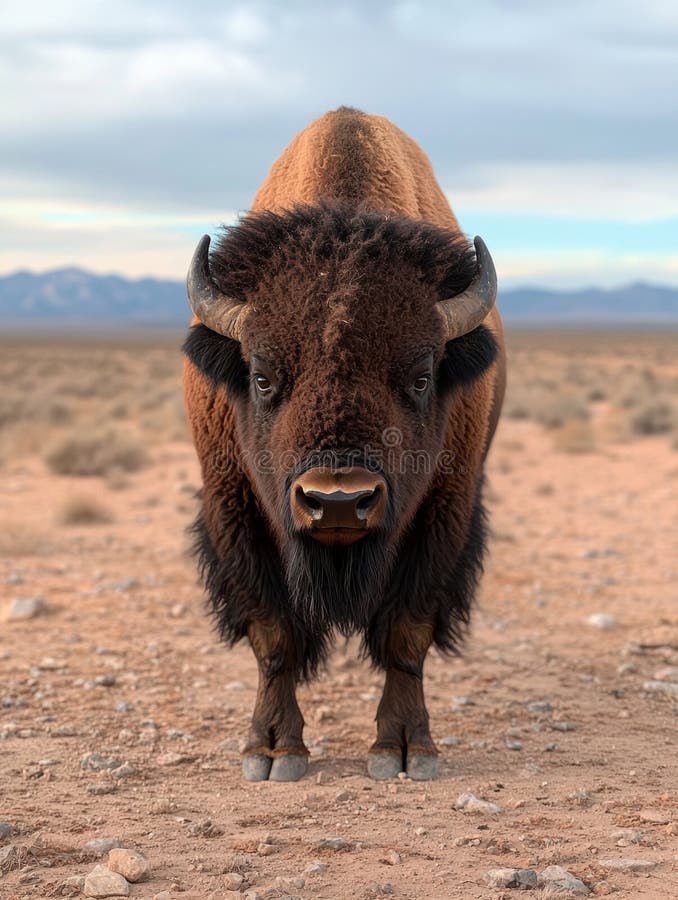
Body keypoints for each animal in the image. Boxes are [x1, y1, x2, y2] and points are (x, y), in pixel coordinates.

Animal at [182, 107, 506, 781]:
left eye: (421, 375)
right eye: (261, 375)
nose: (336, 502)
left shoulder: (445, 512)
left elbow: (408, 633)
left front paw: (405, 749)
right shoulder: (235, 512)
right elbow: (273, 635)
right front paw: (272, 752)